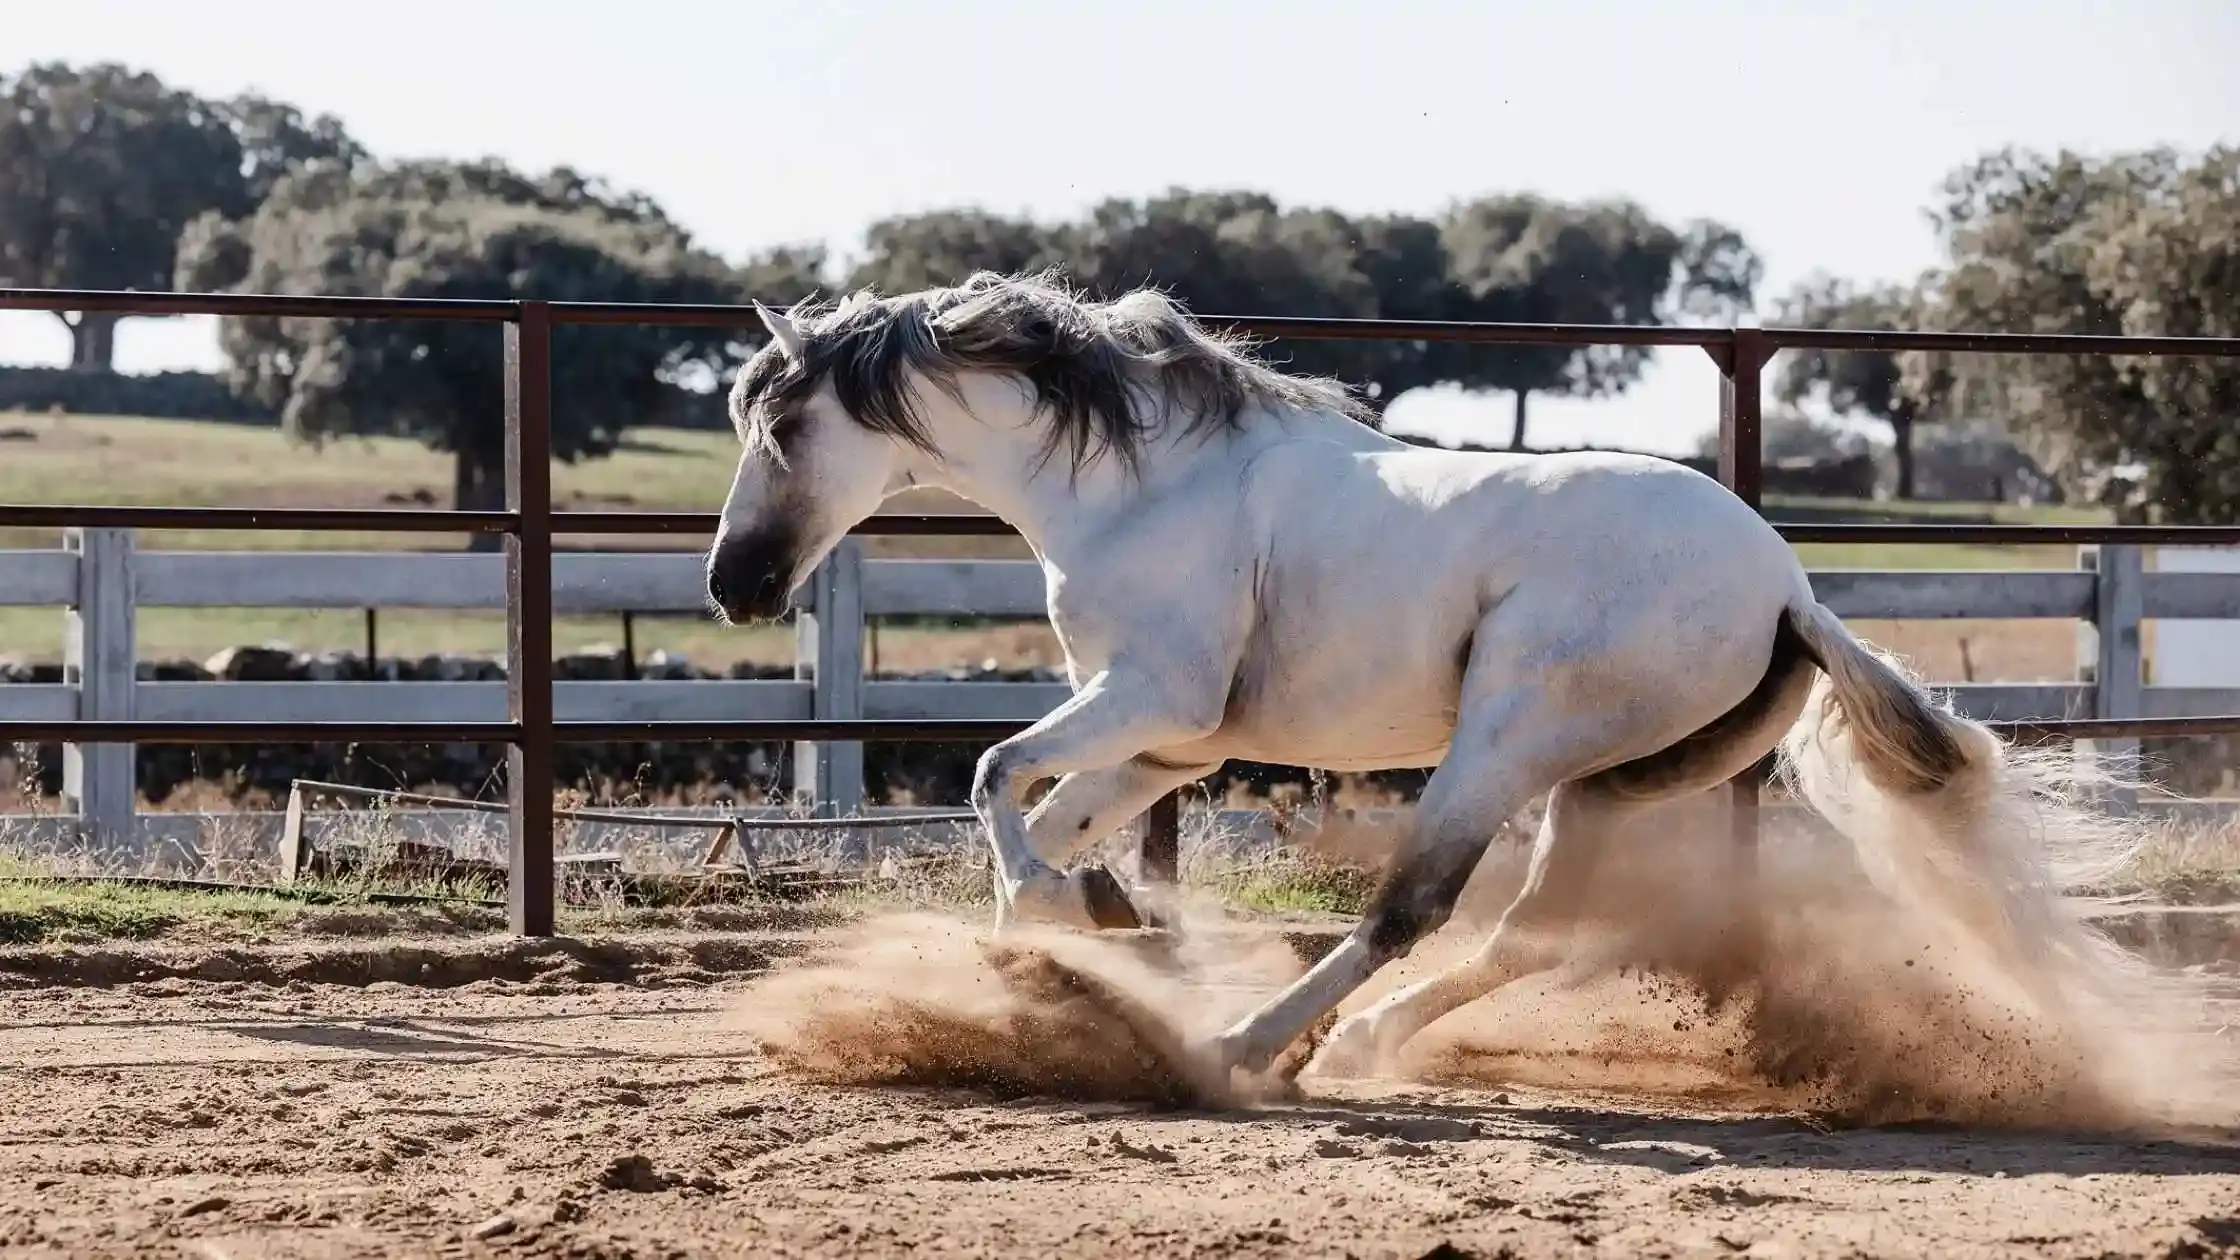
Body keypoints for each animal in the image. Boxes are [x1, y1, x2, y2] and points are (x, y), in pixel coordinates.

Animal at [702, 269, 2139, 1086]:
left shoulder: (1156, 704)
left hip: (1502, 744)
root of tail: (1789, 590)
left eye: (784, 424)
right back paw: (1362, 1044)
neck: (1139, 479)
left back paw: (1250, 1049)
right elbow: (1038, 819)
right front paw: (1057, 959)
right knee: (1527, 932)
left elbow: (996, 775)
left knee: (1411, 908)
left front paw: (1071, 940)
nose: (735, 587)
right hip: (1603, 784)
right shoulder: (1166, 744)